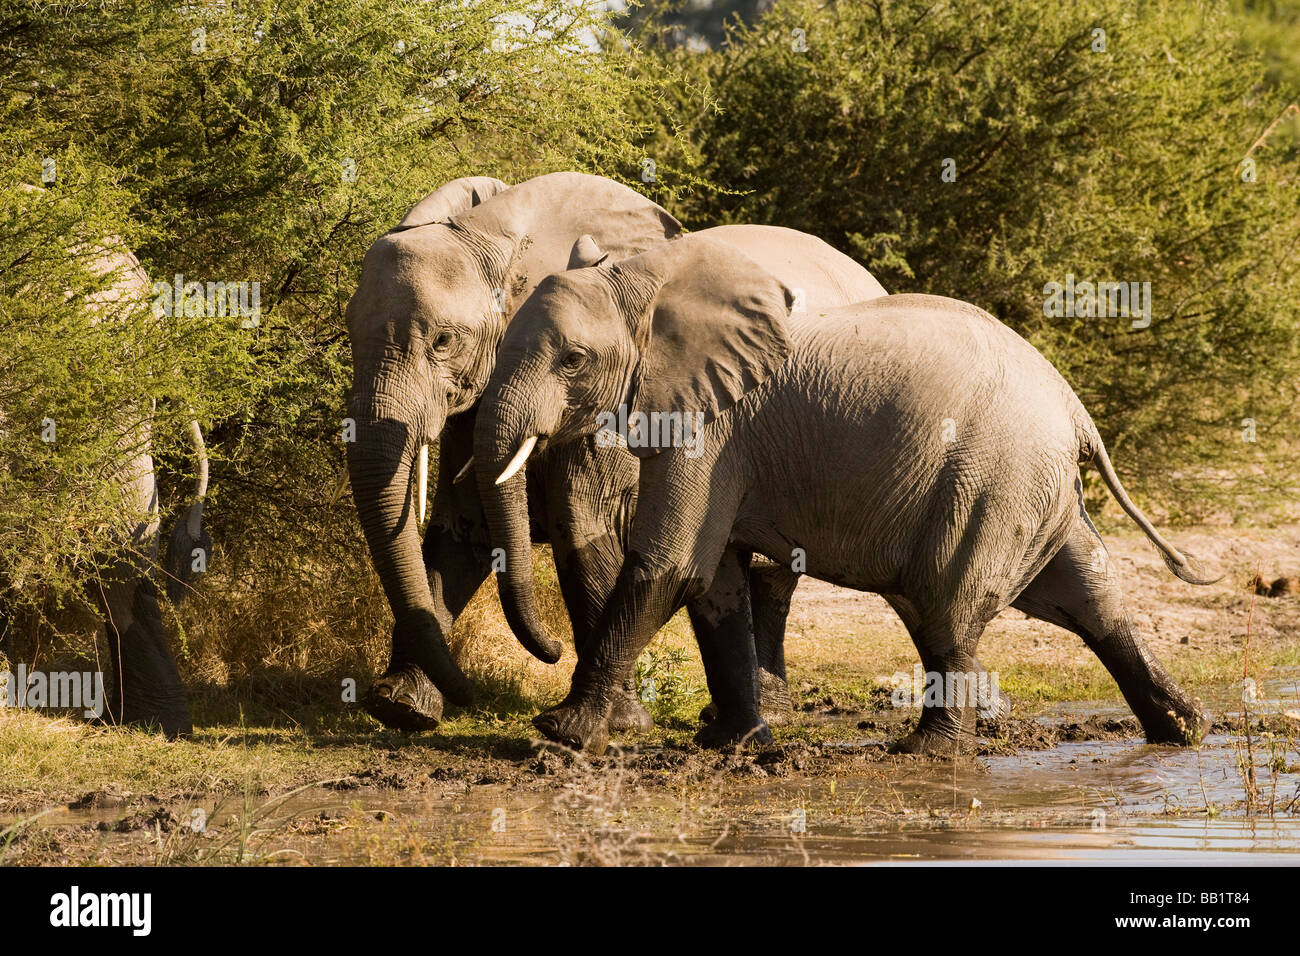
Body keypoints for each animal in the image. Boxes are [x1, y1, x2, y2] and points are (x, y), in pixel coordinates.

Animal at [343, 171, 889, 733]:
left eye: (443, 340)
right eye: (348, 332)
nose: (551, 650)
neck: (499, 230)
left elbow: (582, 529)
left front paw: (622, 722)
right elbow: (459, 533)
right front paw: (400, 706)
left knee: (772, 577)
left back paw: (768, 713)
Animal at [472, 234, 1219, 756]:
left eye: (573, 360)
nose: (550, 651)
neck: (650, 283)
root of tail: (1074, 409)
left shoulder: (713, 430)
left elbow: (670, 568)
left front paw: (560, 737)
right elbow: (715, 584)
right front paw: (734, 745)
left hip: (993, 482)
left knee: (949, 605)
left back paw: (928, 751)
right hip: (1034, 488)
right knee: (1088, 594)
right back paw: (1185, 730)